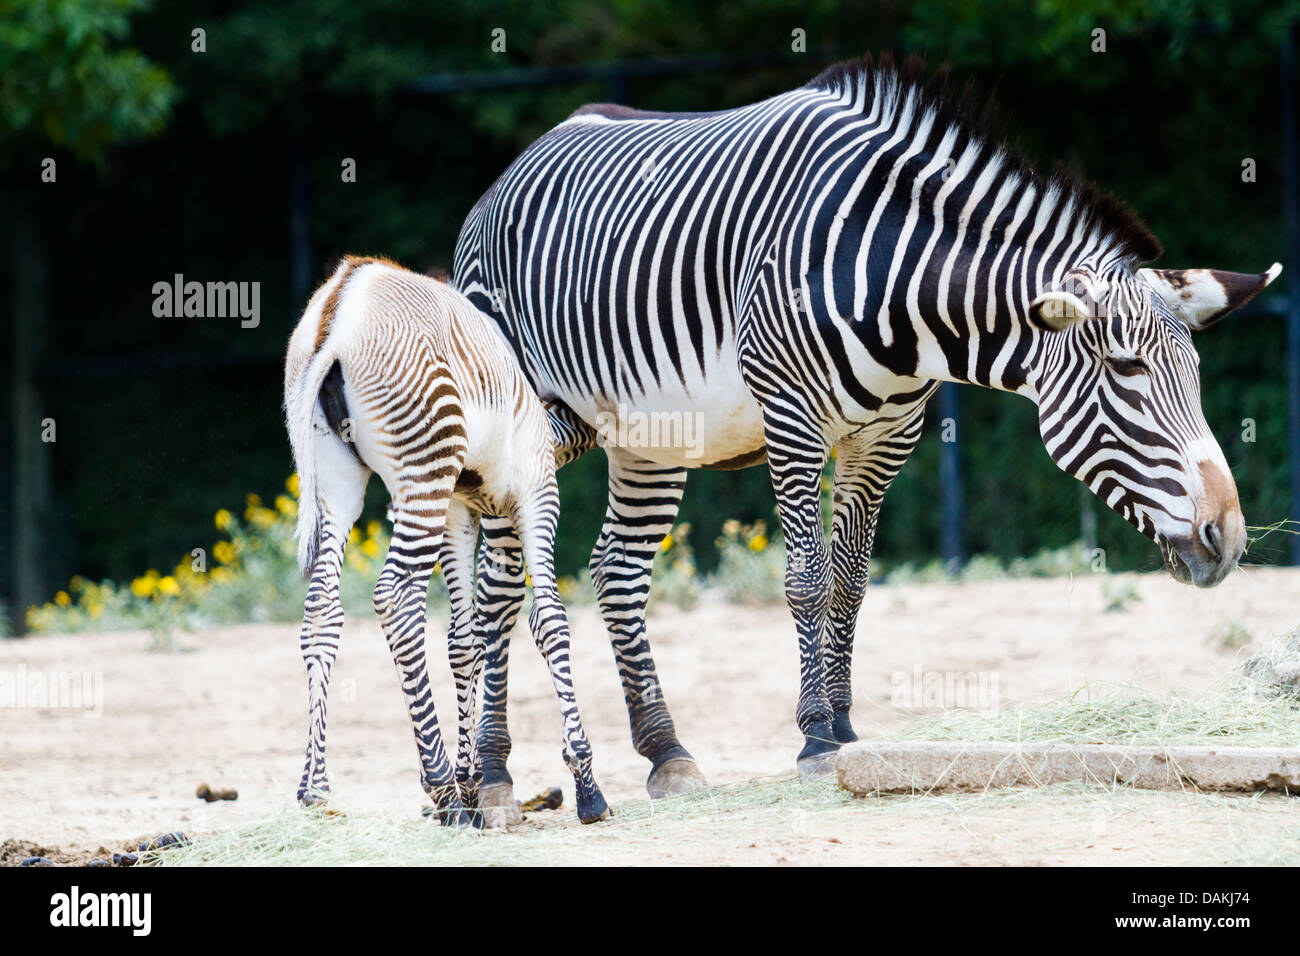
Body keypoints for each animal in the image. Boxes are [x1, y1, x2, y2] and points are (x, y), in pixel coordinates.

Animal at [283, 255, 611, 826]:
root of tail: (341, 304)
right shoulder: (536, 493)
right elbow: (549, 619)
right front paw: (586, 785)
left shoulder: (459, 511)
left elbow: (464, 638)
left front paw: (474, 782)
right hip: (424, 465)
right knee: (395, 597)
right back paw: (441, 793)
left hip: (340, 481)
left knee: (322, 609)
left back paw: (316, 787)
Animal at [452, 53, 1280, 792]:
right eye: (1128, 372)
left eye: (1196, 378)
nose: (1230, 537)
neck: (894, 282)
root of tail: (508, 174)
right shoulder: (791, 420)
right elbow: (805, 579)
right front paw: (816, 737)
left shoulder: (886, 437)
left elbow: (850, 582)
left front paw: (847, 730)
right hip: (524, 424)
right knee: (498, 586)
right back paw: (491, 775)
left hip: (646, 436)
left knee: (617, 571)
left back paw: (666, 753)